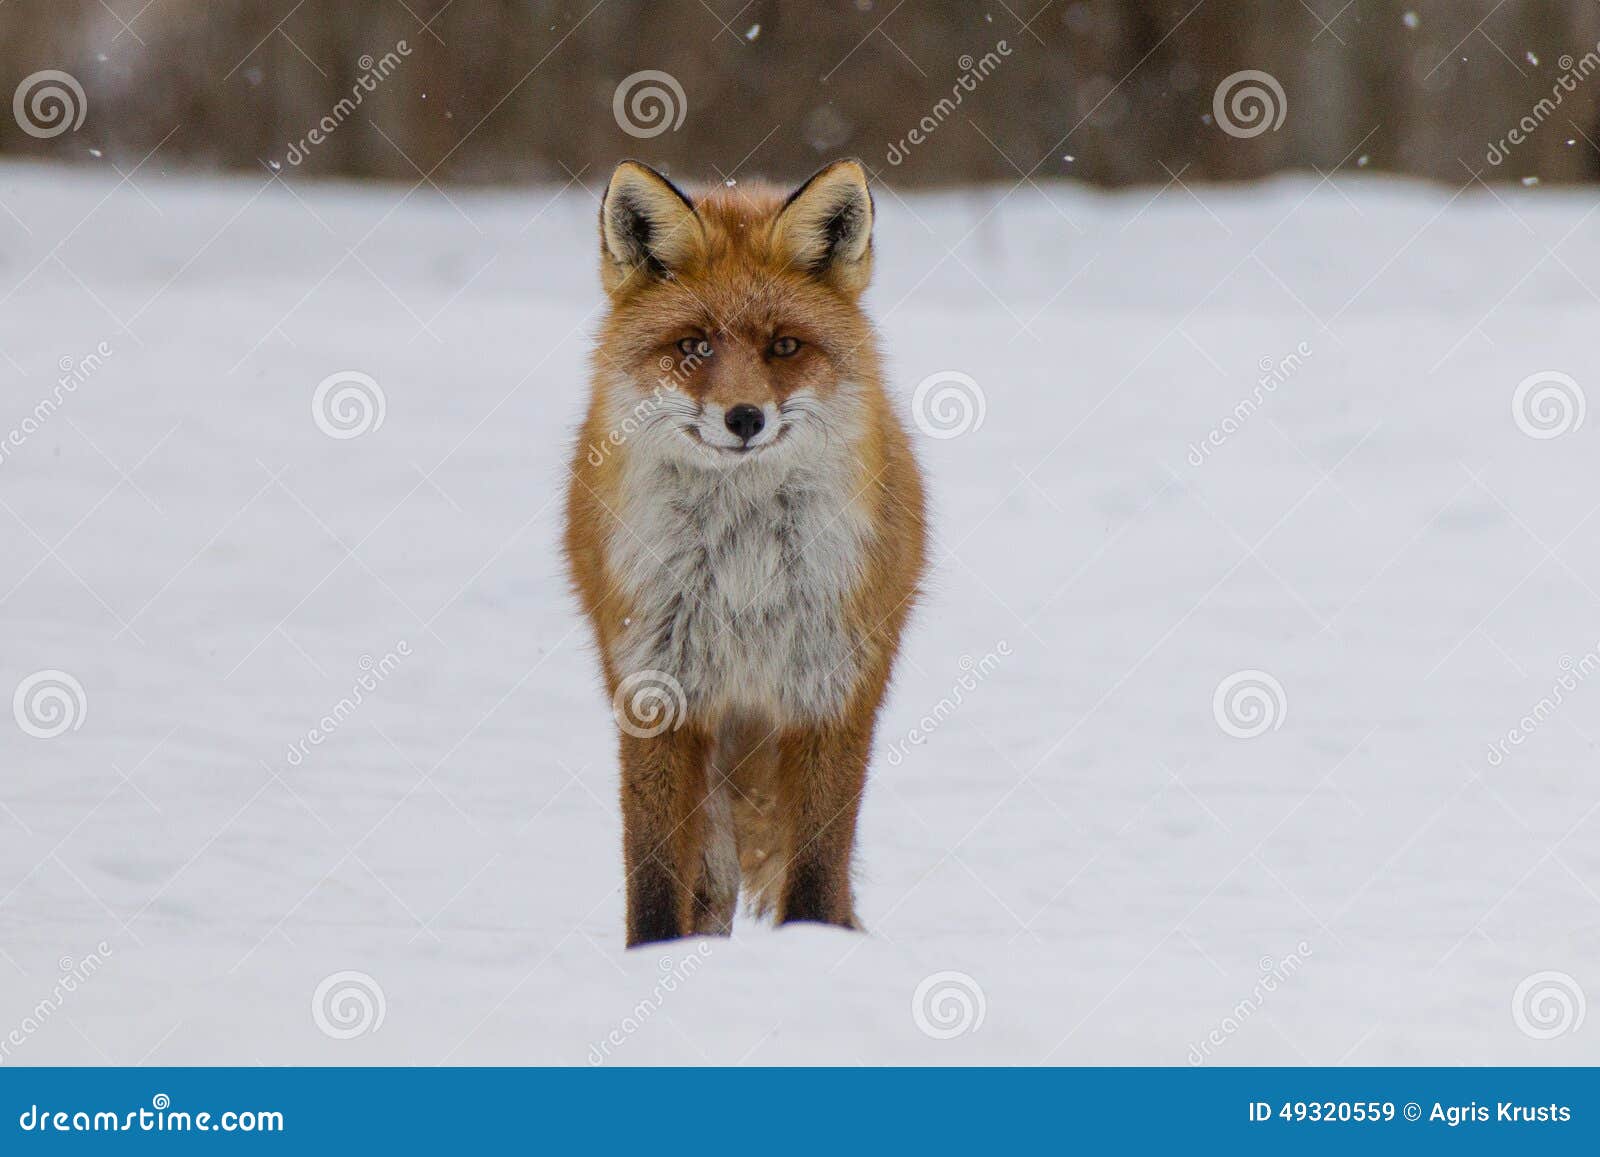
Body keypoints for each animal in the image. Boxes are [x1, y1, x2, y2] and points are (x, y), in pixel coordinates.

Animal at [563, 158, 928, 946]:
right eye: (695, 346)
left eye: (783, 346)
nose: (744, 418)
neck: (743, 571)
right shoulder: (656, 690)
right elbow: (655, 874)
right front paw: (651, 960)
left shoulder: (832, 693)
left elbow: (817, 872)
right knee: (712, 879)